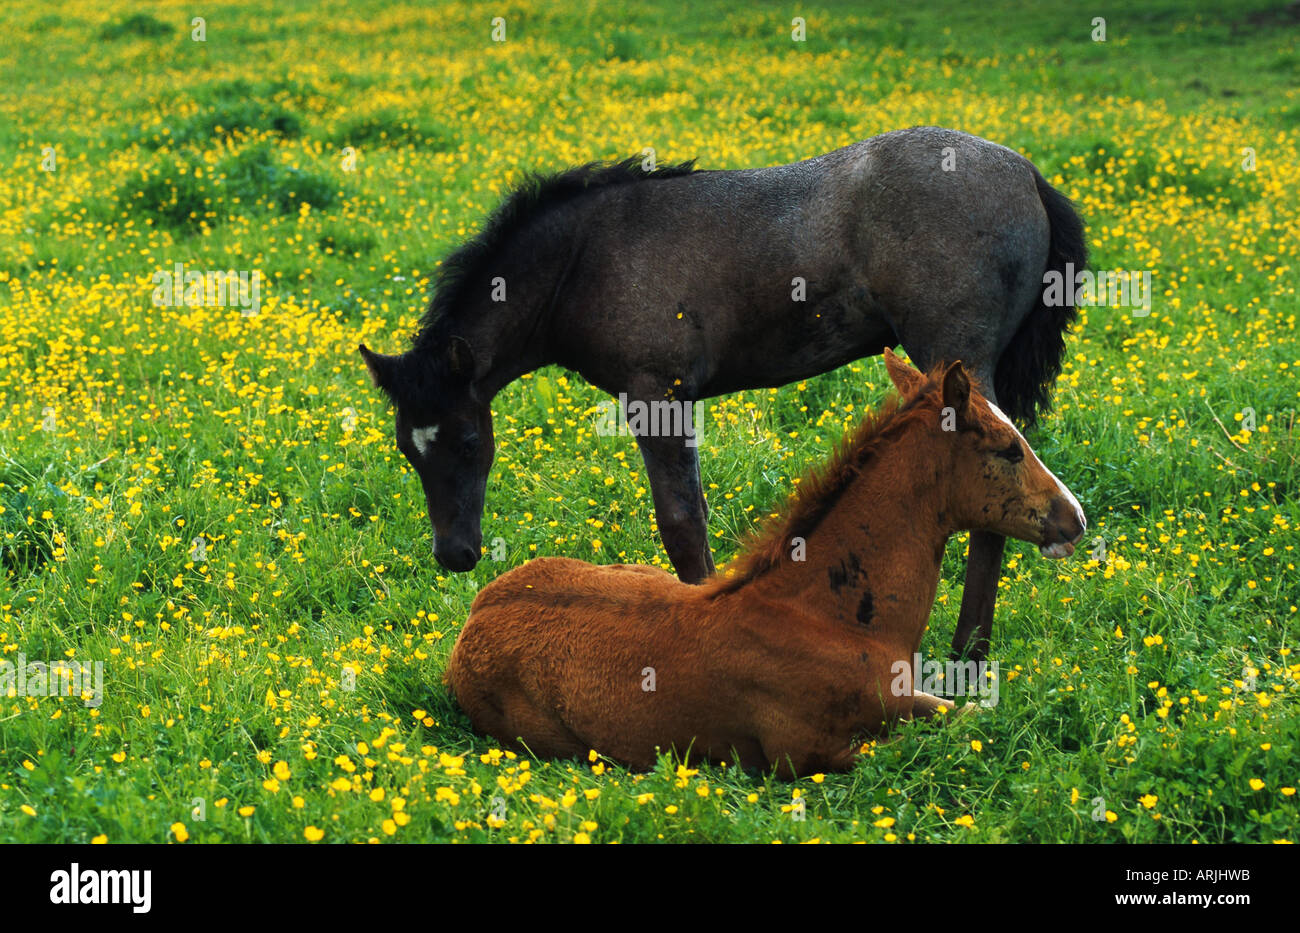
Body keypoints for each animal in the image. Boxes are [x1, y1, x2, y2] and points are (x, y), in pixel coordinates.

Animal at [359, 126, 1087, 661]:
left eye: (470, 439)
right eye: (406, 449)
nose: (455, 554)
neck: (585, 258)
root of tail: (1026, 174)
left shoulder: (657, 393)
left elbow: (682, 524)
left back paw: (968, 653)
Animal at [445, 351, 1086, 778]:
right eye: (1008, 448)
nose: (1074, 518)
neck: (830, 618)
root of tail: (475, 614)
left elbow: (974, 709)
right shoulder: (808, 757)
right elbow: (942, 734)